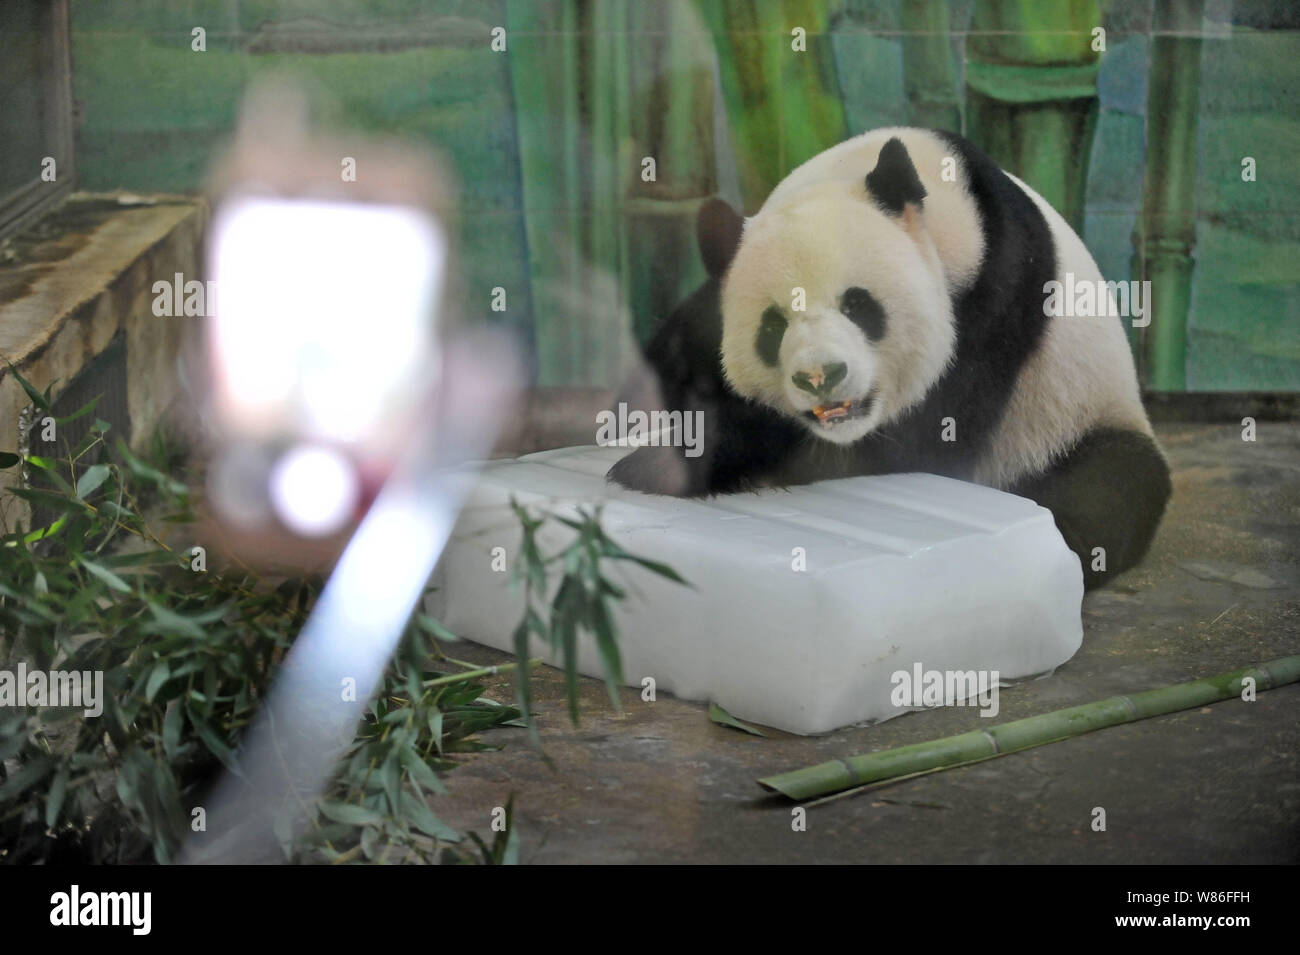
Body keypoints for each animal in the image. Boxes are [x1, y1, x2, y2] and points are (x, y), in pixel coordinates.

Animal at [608, 127, 1171, 590]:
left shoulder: (1001, 296)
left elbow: (911, 443)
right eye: (772, 327)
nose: (820, 376)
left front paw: (658, 464)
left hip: (1068, 417)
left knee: (1112, 484)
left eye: (858, 305)